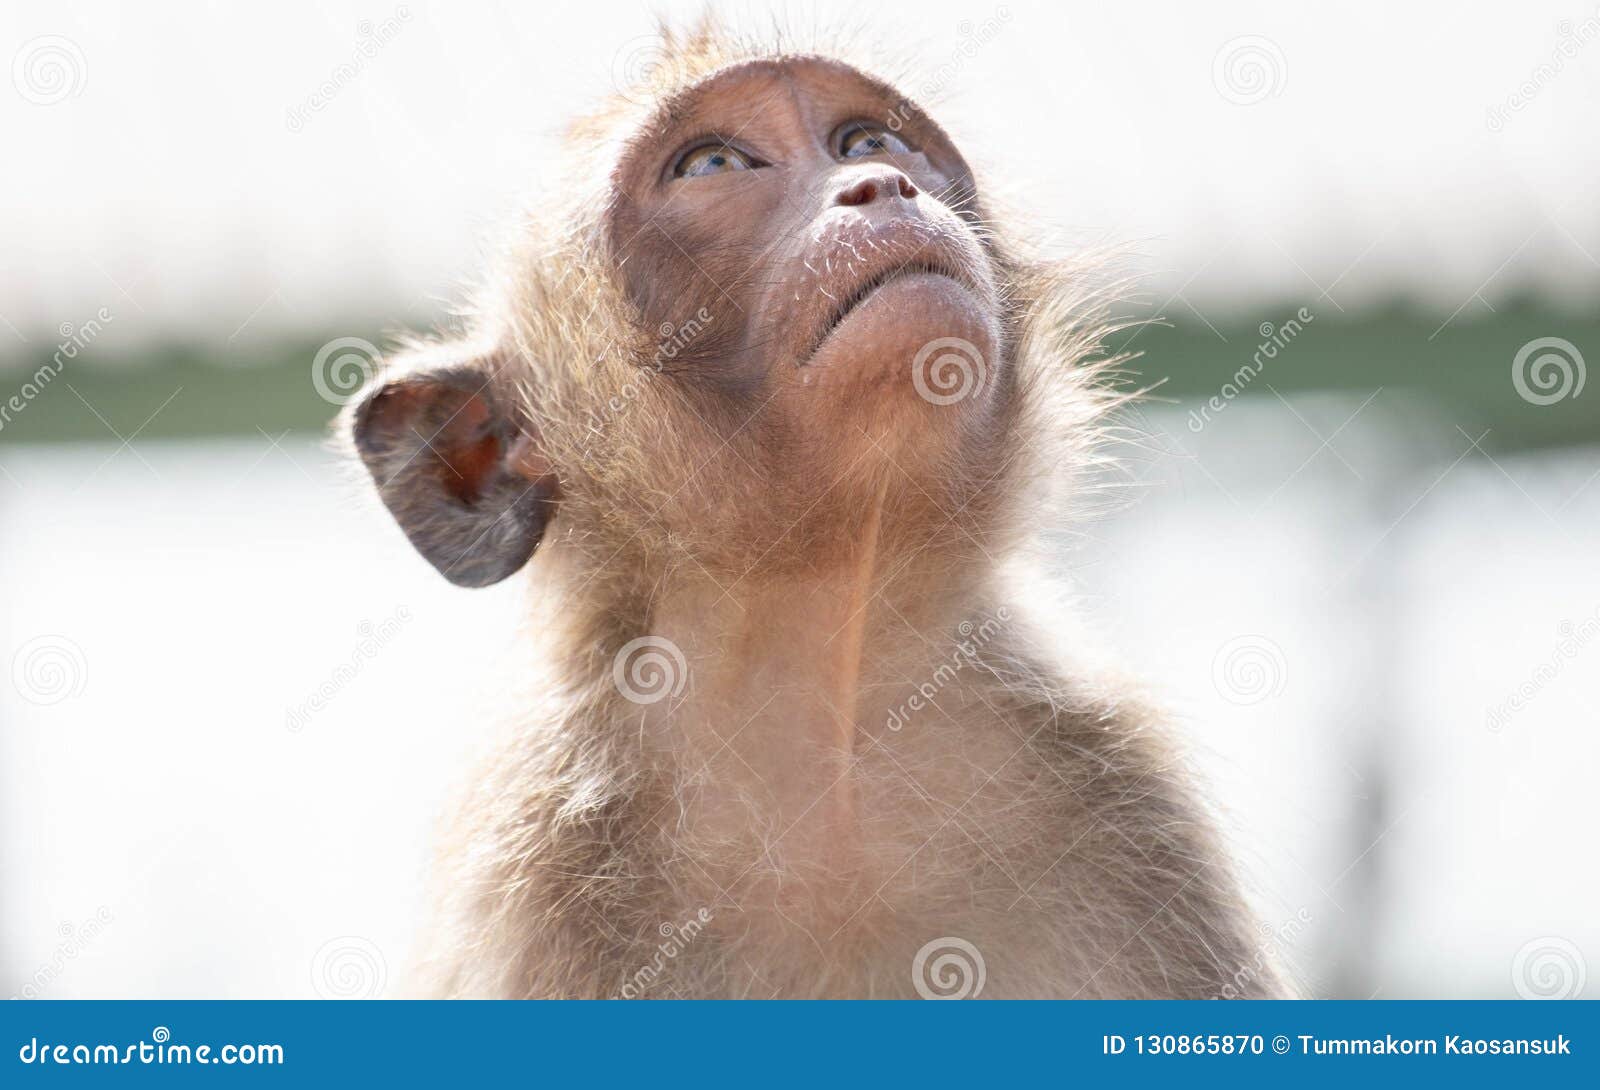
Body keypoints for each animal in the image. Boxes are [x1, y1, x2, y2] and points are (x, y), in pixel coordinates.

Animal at [344, 21, 1290, 999]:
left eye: (865, 141)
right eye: (713, 162)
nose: (878, 186)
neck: (819, 723)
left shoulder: (1121, 794)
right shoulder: (543, 864)